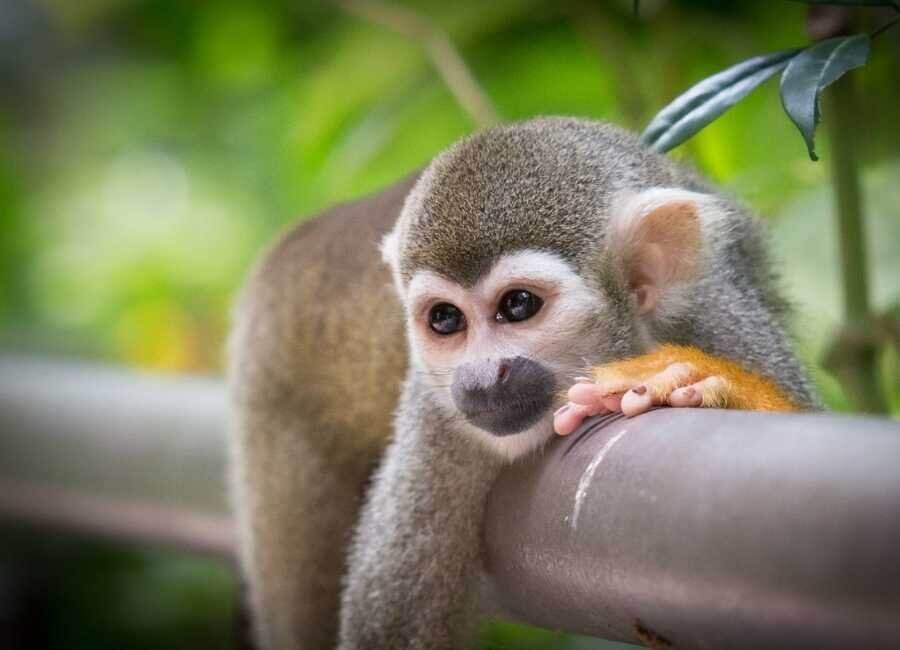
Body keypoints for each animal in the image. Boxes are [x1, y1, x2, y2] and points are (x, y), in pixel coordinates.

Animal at [228, 117, 818, 650]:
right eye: (445, 319)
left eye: (518, 305)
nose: (481, 376)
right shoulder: (435, 420)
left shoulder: (719, 317)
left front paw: (704, 380)